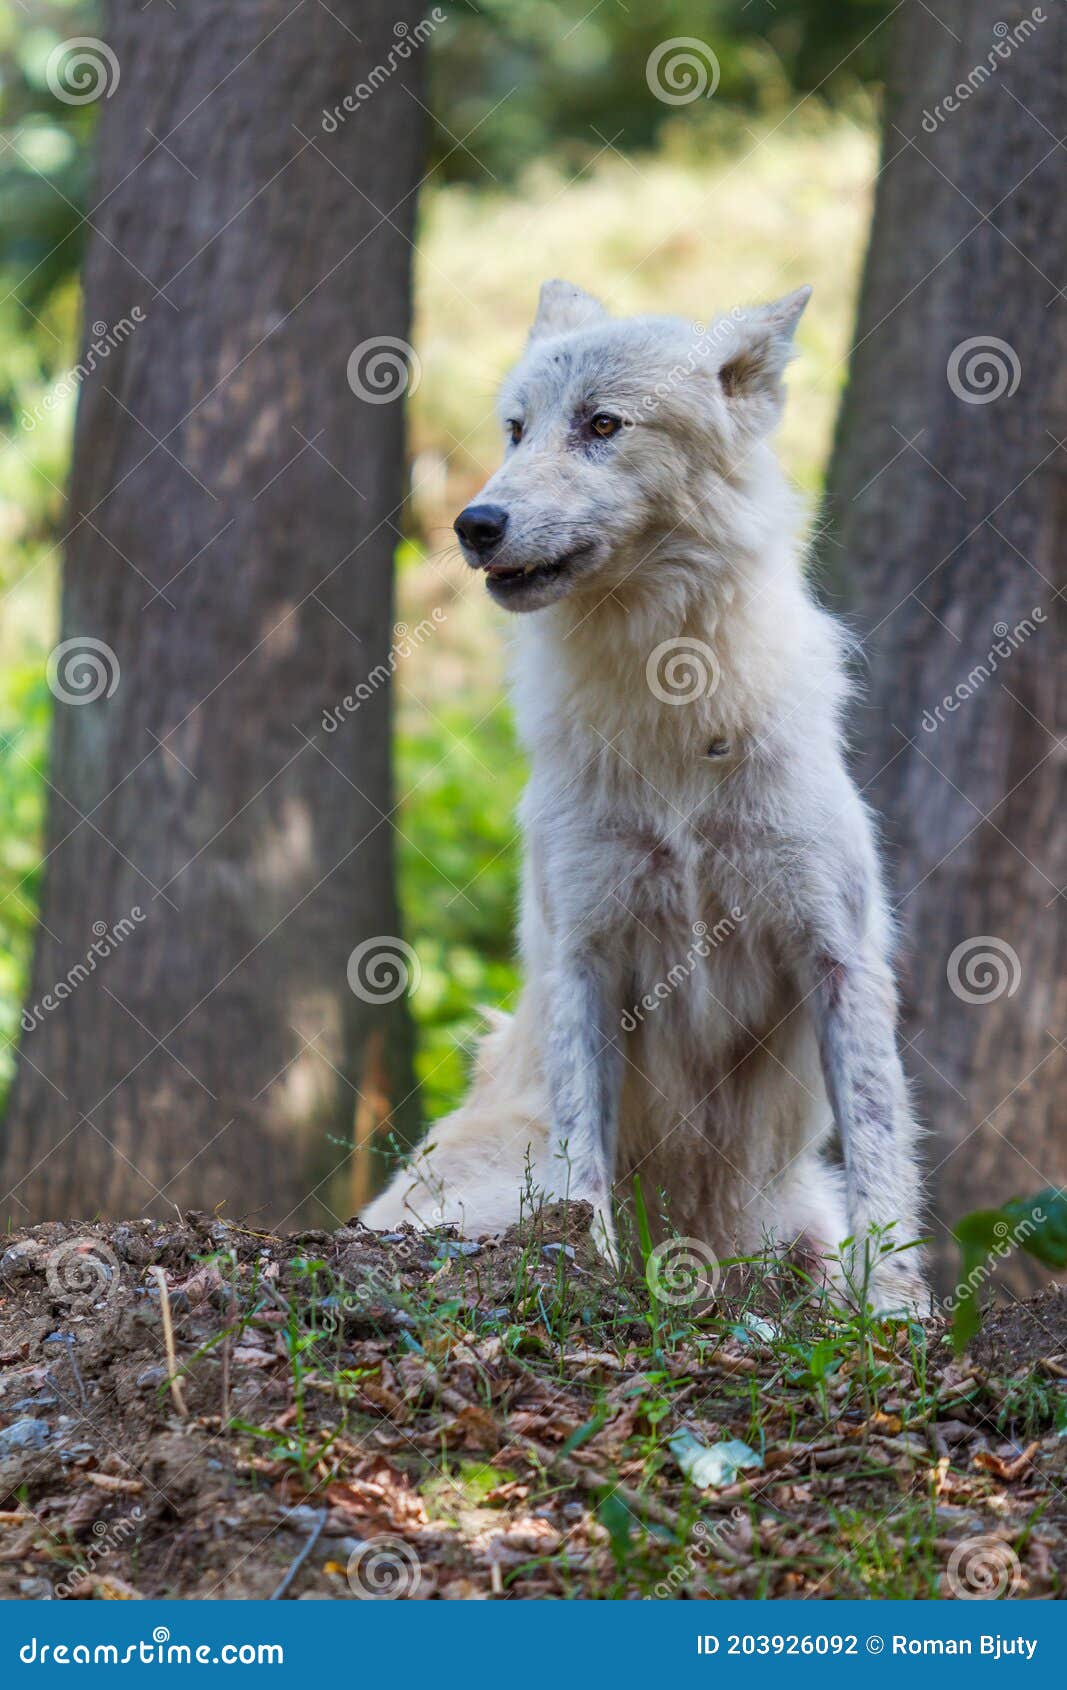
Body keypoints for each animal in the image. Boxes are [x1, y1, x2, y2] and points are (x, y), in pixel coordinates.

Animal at [363, 279, 926, 1313]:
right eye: (515, 430)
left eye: (601, 425)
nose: (473, 524)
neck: (669, 717)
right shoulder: (586, 960)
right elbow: (582, 1155)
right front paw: (588, 1268)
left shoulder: (839, 957)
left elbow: (879, 1153)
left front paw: (896, 1311)